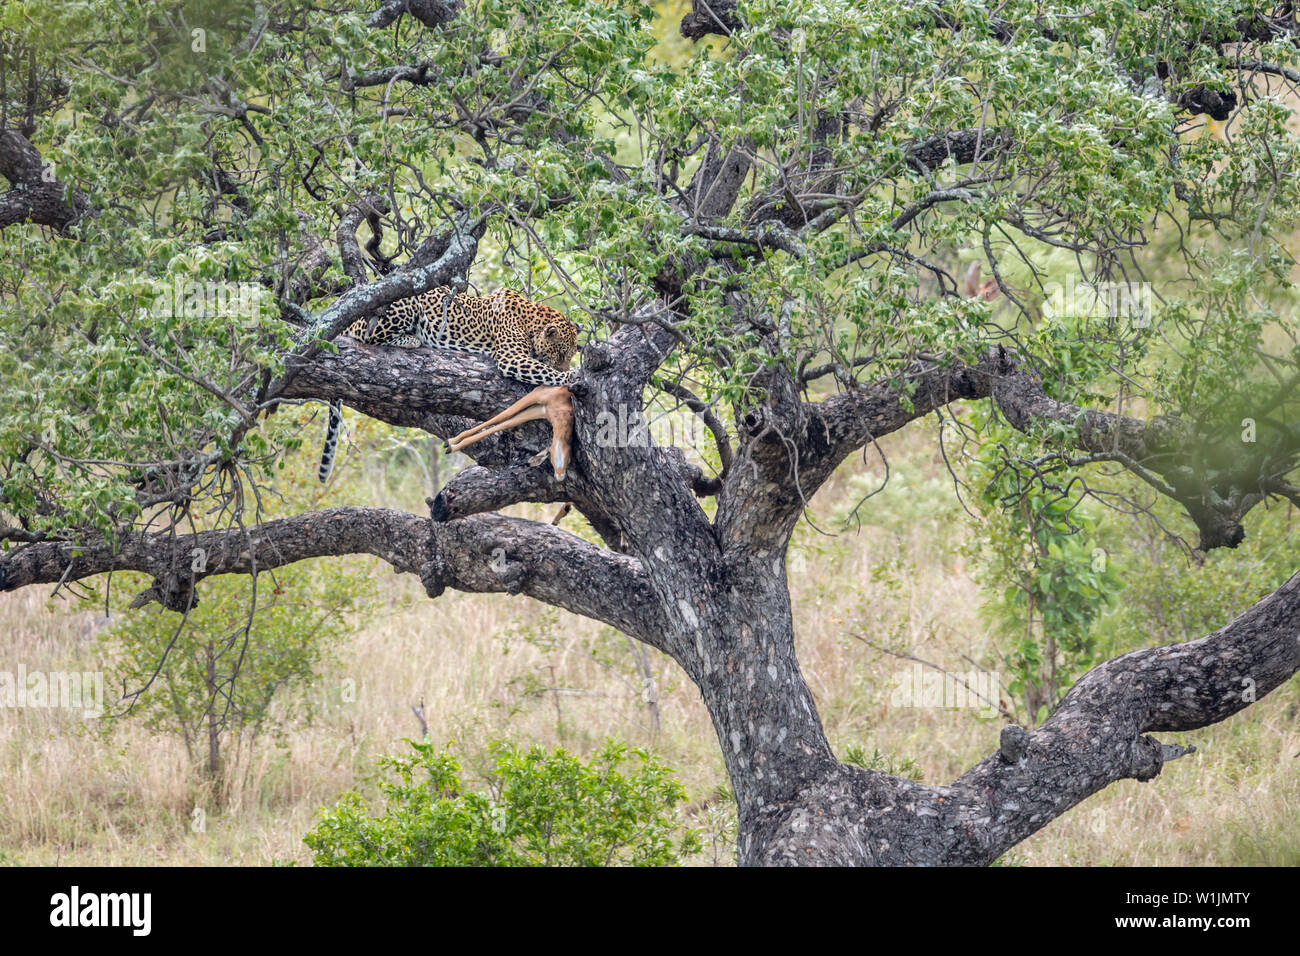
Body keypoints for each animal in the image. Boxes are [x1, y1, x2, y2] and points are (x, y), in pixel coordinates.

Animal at [318, 286, 578, 481]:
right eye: (562, 353)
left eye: (570, 353)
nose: (565, 365)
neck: (531, 319)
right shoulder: (511, 358)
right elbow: (545, 371)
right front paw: (573, 375)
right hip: (404, 304)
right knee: (370, 337)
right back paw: (411, 339)